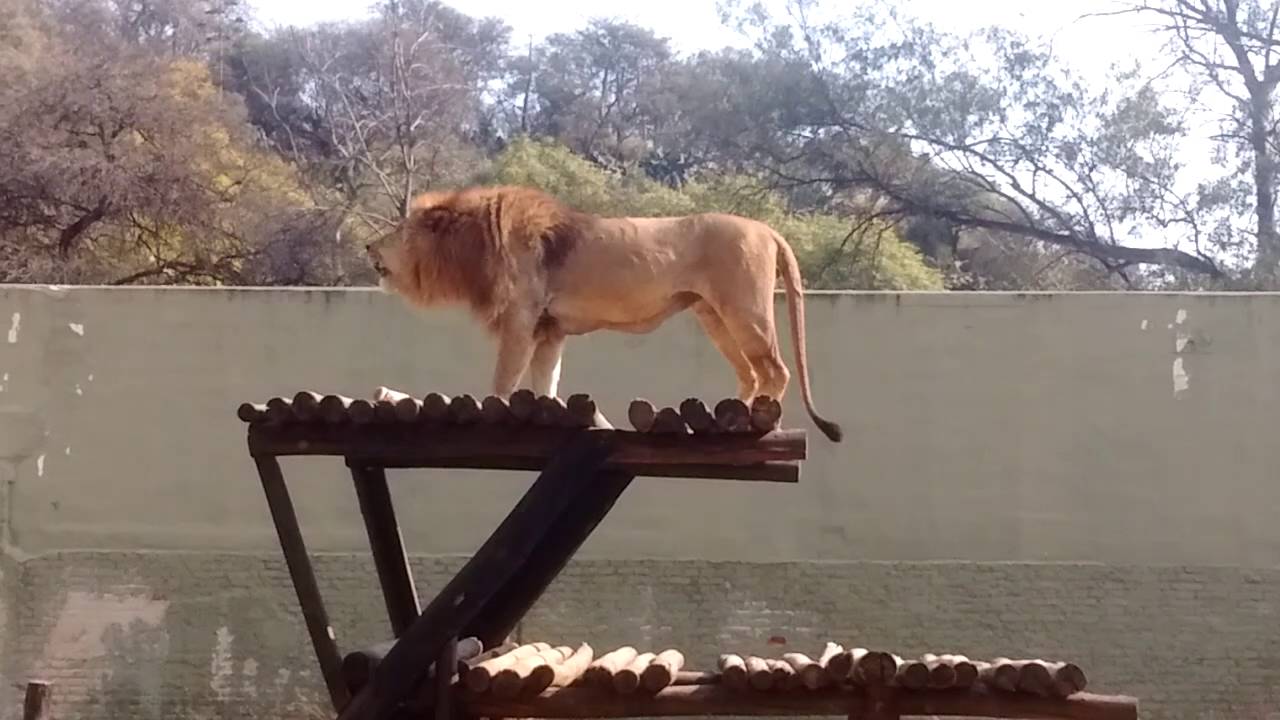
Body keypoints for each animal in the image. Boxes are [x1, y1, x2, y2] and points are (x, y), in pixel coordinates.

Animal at [366, 184, 843, 442]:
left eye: (396, 231)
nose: (368, 246)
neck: (473, 245)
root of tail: (768, 229)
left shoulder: (521, 320)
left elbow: (503, 380)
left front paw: (492, 410)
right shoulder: (549, 330)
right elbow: (545, 382)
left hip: (744, 309)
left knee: (776, 369)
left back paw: (756, 418)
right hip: (713, 316)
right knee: (751, 372)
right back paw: (730, 416)